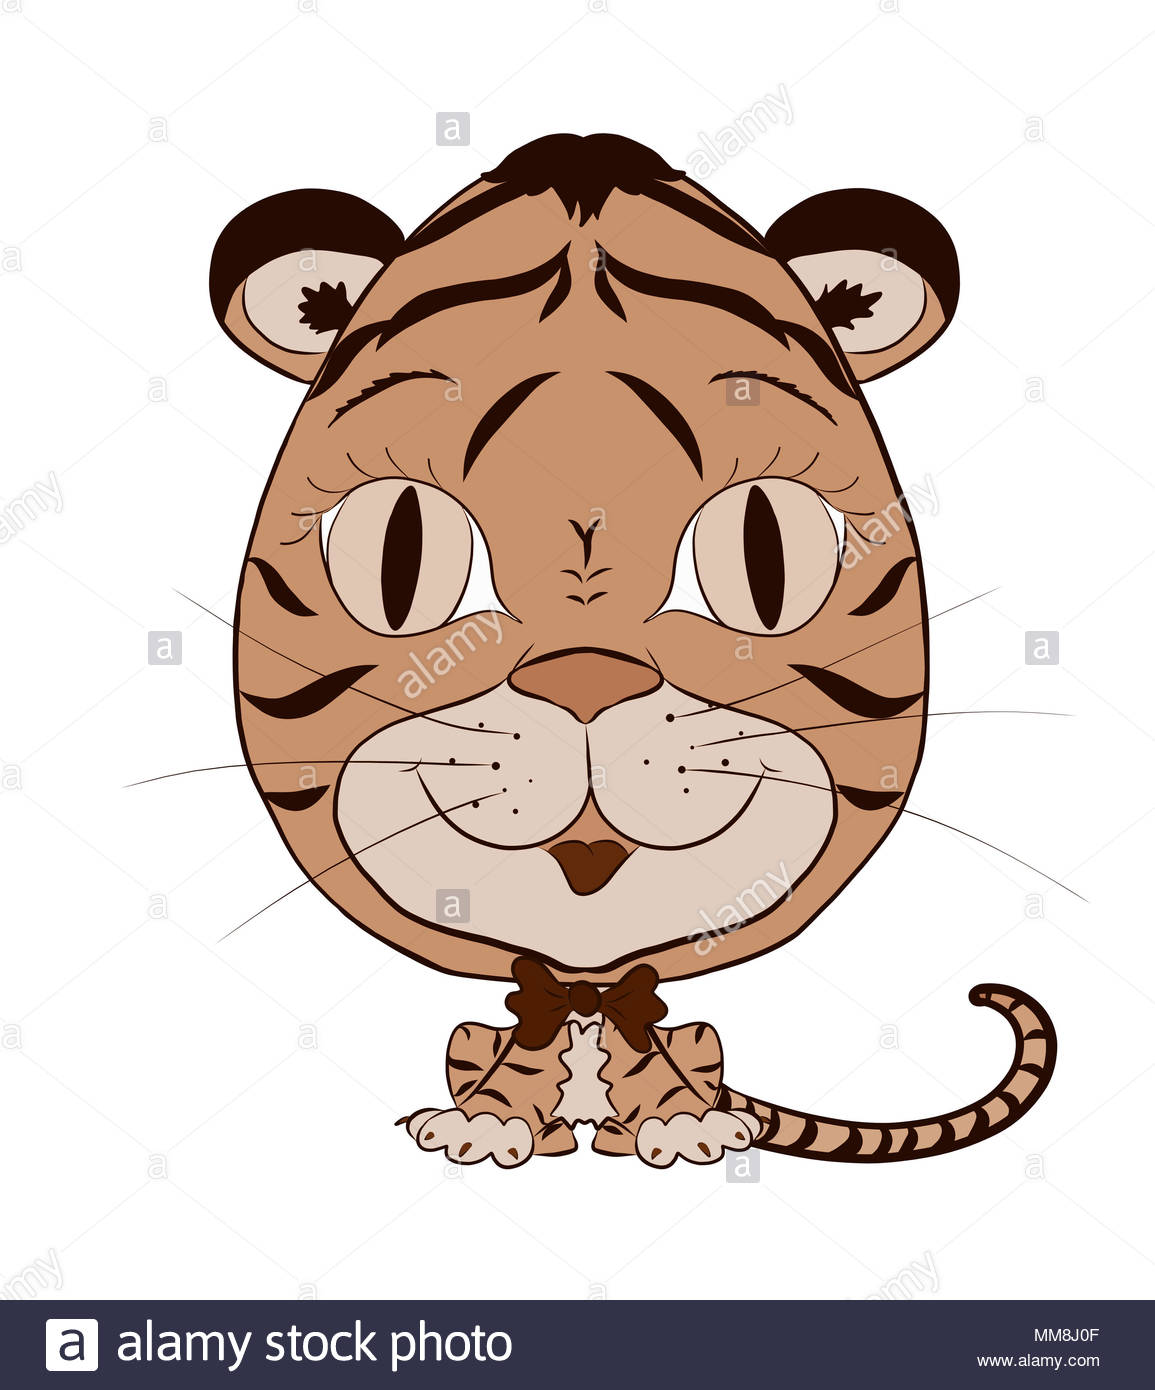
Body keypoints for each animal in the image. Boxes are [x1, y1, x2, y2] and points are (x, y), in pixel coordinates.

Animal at [207, 132, 1055, 1168]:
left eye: (765, 551)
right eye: (397, 552)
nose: (584, 682)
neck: (584, 987)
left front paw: (685, 1121)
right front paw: (488, 1123)